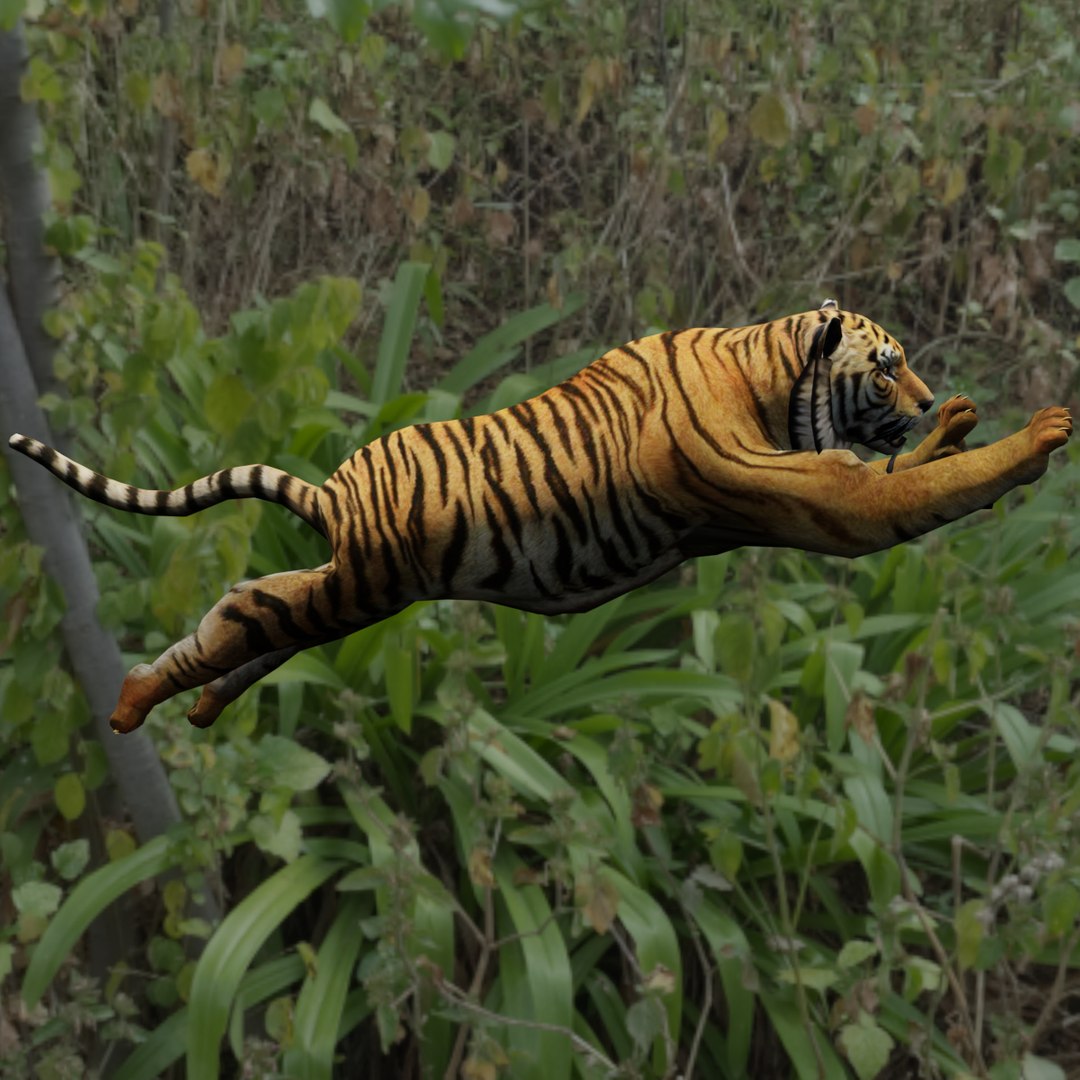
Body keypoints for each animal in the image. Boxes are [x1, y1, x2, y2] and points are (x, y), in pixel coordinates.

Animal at [8, 300, 1072, 733]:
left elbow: (901, 472)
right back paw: (133, 701)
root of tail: (336, 489)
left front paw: (959, 423)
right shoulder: (803, 496)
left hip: (351, 592)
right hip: (362, 583)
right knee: (247, 612)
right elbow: (900, 494)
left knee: (256, 617)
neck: (767, 374)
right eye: (886, 367)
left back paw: (191, 707)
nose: (923, 394)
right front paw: (1033, 437)